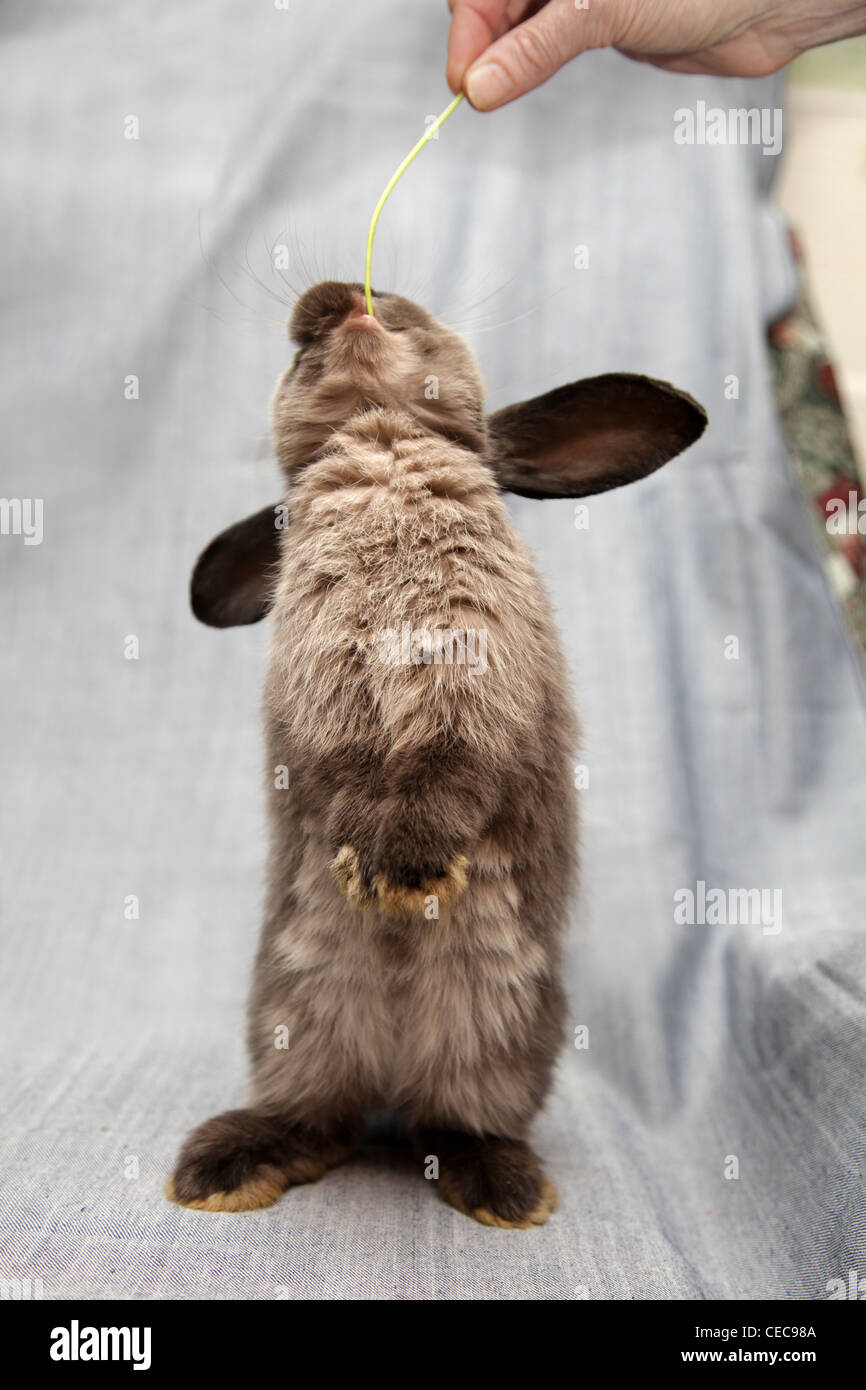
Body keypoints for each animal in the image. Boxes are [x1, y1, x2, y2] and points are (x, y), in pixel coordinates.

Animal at [167, 281, 706, 1228]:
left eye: (408, 311)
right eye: (296, 355)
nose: (341, 299)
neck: (382, 448)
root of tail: (390, 1064)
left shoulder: (475, 679)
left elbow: (449, 770)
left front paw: (407, 870)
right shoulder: (324, 690)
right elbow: (343, 768)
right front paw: (376, 869)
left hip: (498, 1030)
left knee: (447, 1118)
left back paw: (500, 1187)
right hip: (293, 1015)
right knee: (324, 1118)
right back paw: (228, 1165)